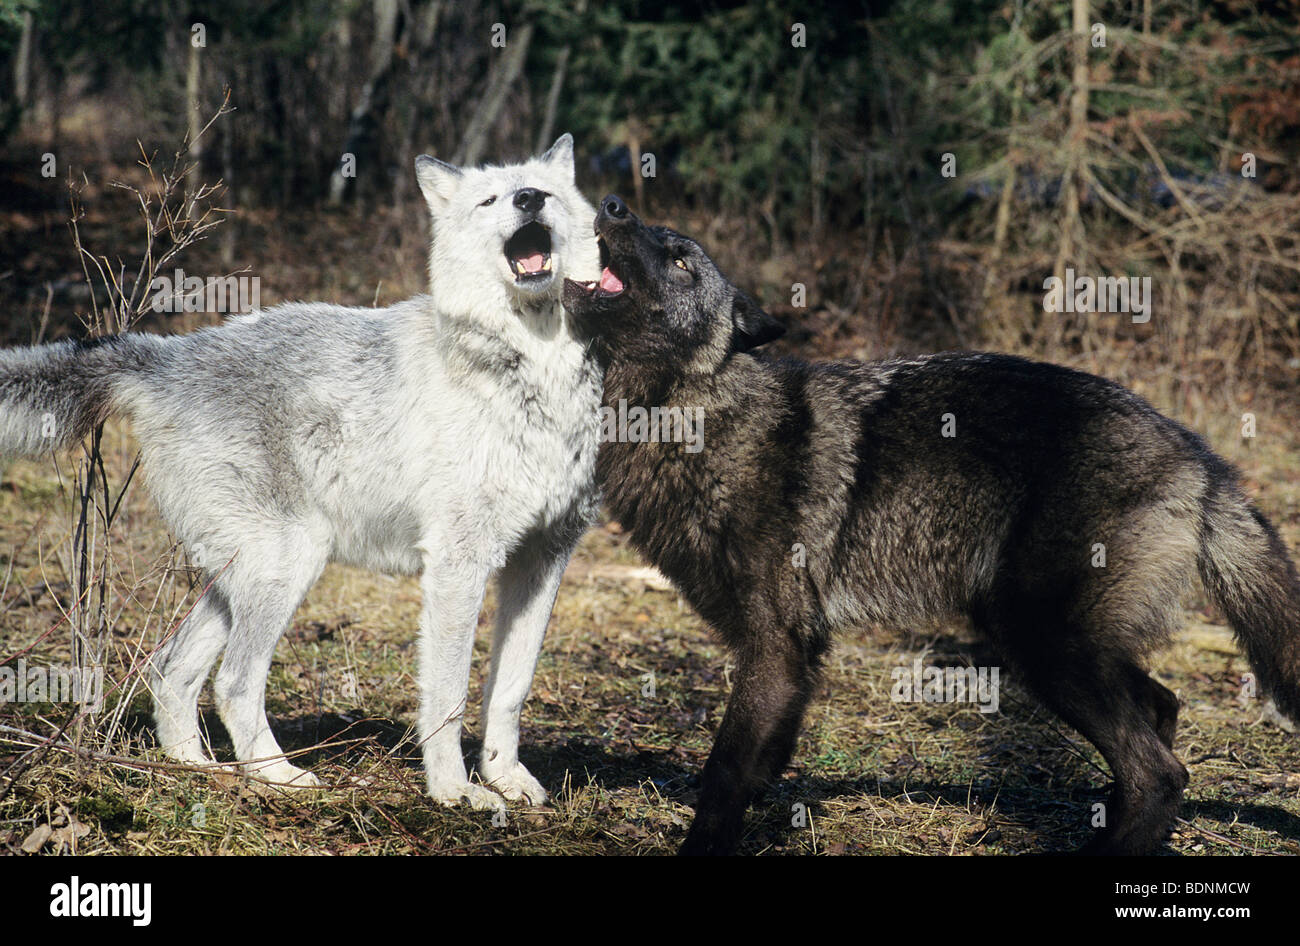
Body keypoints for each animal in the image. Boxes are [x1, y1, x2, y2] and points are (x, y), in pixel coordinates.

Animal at [0, 136, 602, 809]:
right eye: (490, 200)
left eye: (540, 192)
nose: (527, 200)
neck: (533, 367)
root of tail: (167, 354)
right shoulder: (458, 563)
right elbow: (446, 697)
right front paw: (454, 792)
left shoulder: (544, 558)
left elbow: (510, 690)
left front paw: (507, 780)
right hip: (291, 560)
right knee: (234, 681)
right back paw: (278, 776)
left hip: (244, 576)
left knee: (171, 669)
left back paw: (198, 771)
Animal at [562, 194, 1300, 855]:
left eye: (681, 259)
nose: (613, 204)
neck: (688, 409)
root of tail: (1200, 457)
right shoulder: (794, 657)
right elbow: (760, 766)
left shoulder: (776, 645)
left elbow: (722, 775)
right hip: (1064, 644)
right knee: (1164, 709)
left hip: (1042, 644)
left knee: (1161, 771)